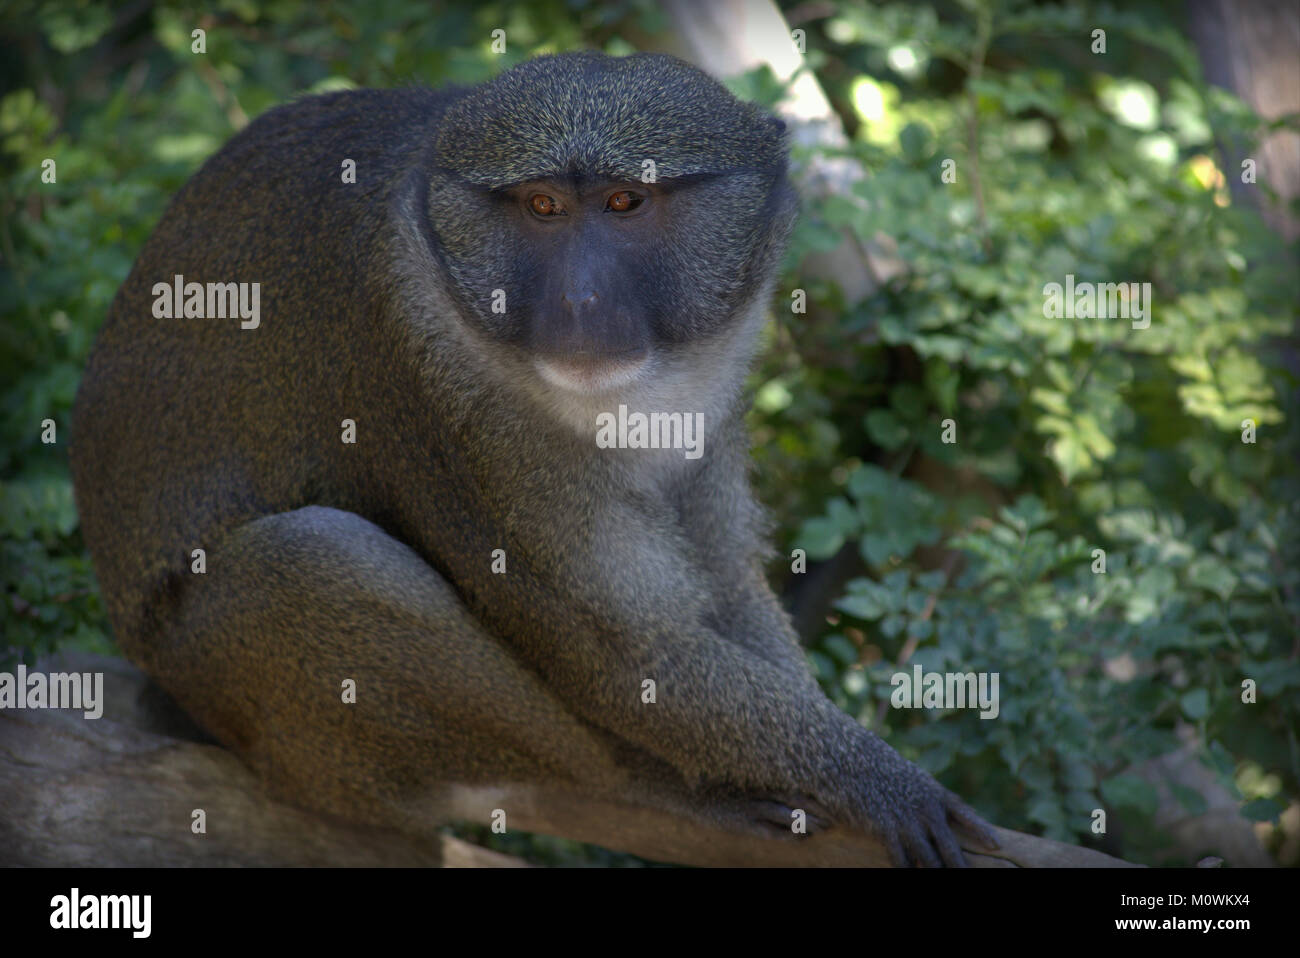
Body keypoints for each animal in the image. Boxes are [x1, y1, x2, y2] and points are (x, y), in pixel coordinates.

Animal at [70, 51, 999, 867]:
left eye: (626, 201)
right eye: (543, 206)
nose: (581, 300)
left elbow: (723, 579)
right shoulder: (427, 375)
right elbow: (625, 653)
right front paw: (878, 780)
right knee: (317, 560)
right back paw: (664, 791)